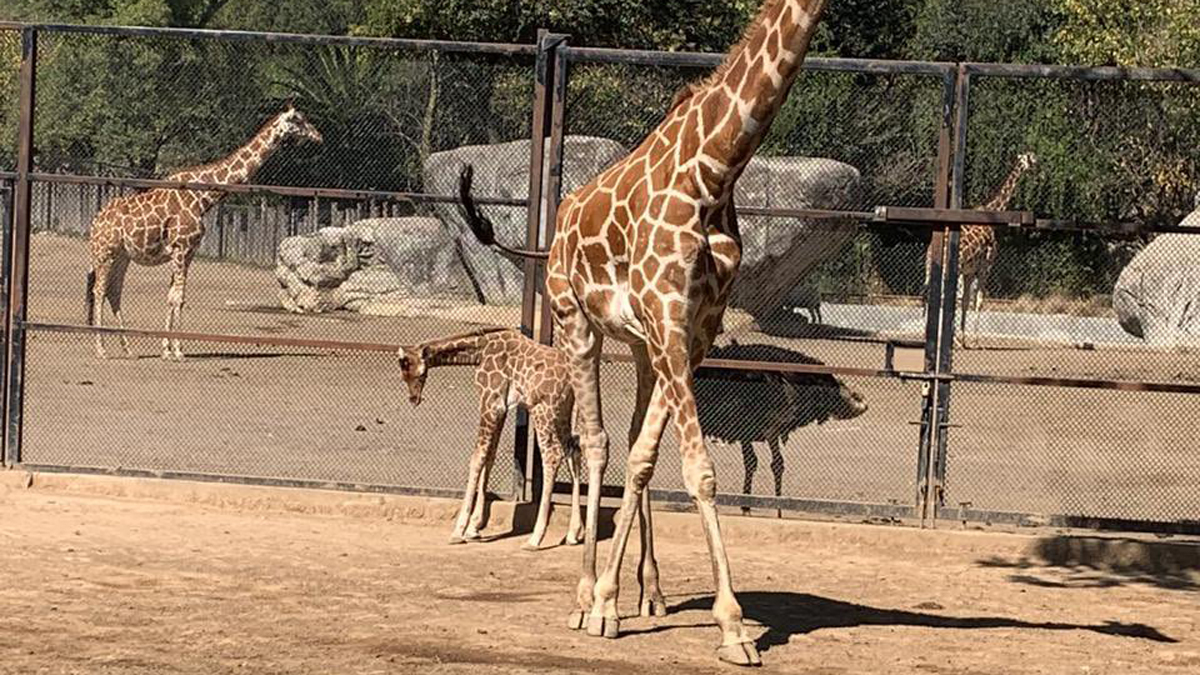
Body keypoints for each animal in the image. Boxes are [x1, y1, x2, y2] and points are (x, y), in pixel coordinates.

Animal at [86, 106, 322, 360]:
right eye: (298, 119)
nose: (318, 135)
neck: (203, 198)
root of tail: (95, 222)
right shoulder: (181, 249)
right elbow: (179, 299)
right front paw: (179, 350)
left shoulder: (187, 252)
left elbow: (172, 297)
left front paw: (167, 349)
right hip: (105, 253)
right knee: (99, 290)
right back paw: (101, 349)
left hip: (123, 256)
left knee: (113, 291)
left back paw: (127, 347)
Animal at [398, 327, 584, 550]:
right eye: (403, 375)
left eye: (419, 373)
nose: (413, 399)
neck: (480, 351)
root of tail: (571, 379)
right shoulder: (501, 408)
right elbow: (490, 456)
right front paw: (474, 527)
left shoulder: (490, 402)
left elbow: (477, 458)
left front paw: (459, 530)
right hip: (563, 412)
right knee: (574, 451)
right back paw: (574, 533)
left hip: (542, 409)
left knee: (552, 456)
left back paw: (535, 539)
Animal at [458, 0, 829, 665]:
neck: (715, 169)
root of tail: (556, 228)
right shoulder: (668, 317)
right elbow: (696, 468)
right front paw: (729, 627)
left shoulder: (693, 328)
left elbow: (649, 457)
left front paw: (629, 596)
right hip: (577, 322)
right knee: (594, 441)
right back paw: (584, 594)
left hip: (638, 345)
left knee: (630, 444)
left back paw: (647, 592)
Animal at [924, 152, 1038, 345]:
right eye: (1031, 159)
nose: (1038, 167)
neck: (993, 213)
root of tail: (933, 249)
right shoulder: (986, 266)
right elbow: (977, 300)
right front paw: (973, 340)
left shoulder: (970, 271)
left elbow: (965, 301)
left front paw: (961, 338)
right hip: (953, 268)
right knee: (943, 296)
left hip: (931, 268)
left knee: (929, 294)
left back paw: (928, 334)